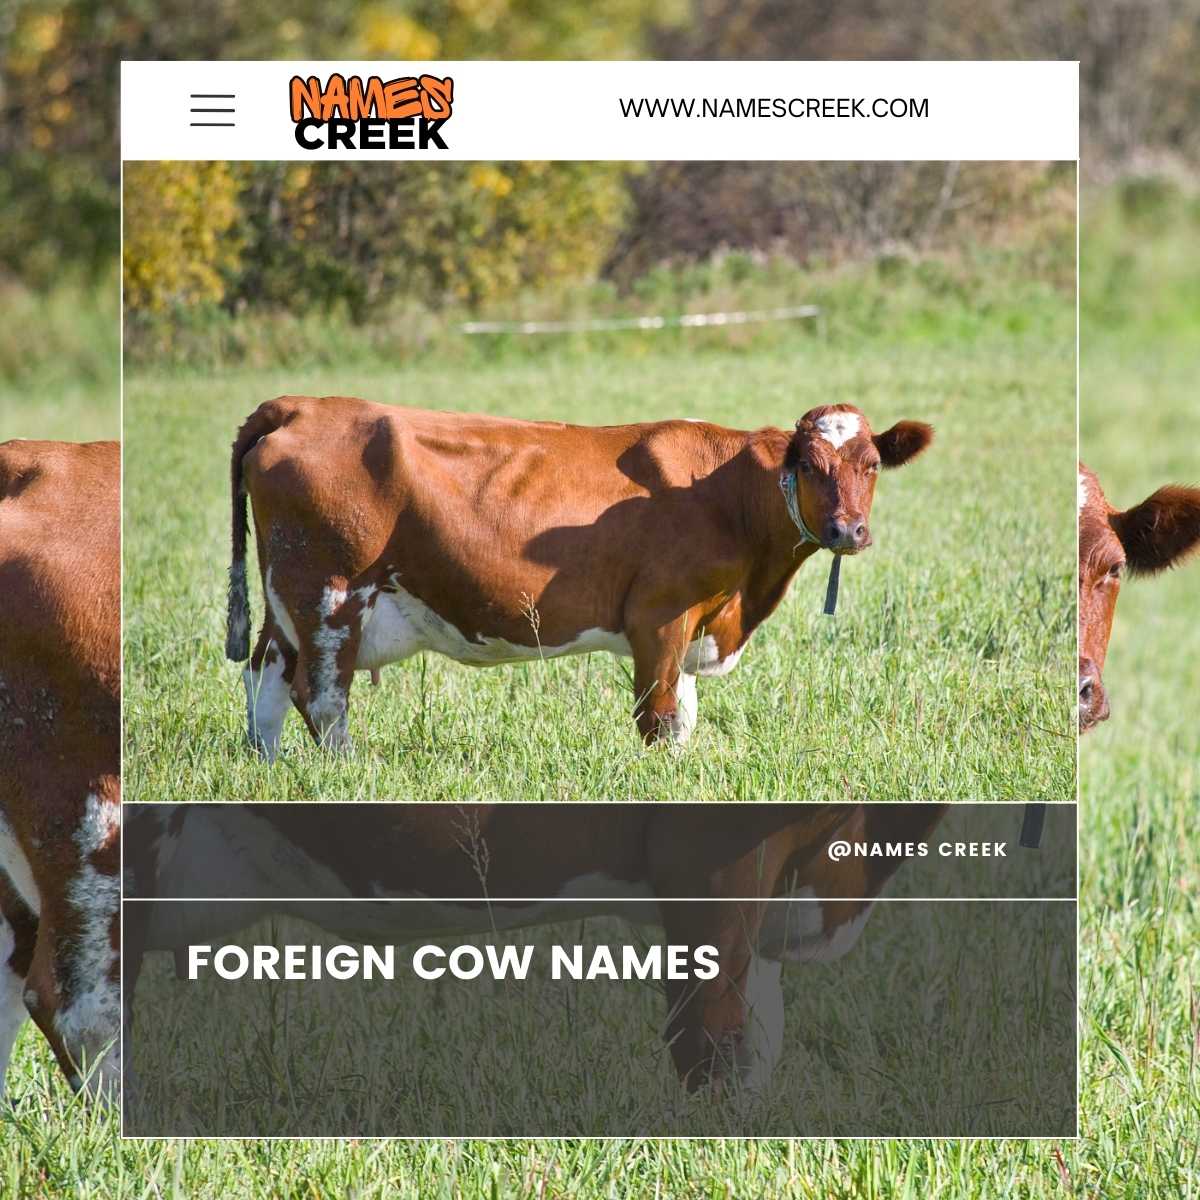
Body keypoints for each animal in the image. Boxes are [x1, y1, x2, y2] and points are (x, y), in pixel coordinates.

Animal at [225, 397, 932, 756]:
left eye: (871, 464)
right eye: (809, 465)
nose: (848, 531)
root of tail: (301, 406)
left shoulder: (695, 619)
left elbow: (685, 717)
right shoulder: (660, 616)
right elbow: (660, 717)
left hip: (286, 601)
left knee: (265, 677)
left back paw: (269, 765)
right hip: (329, 594)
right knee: (322, 696)